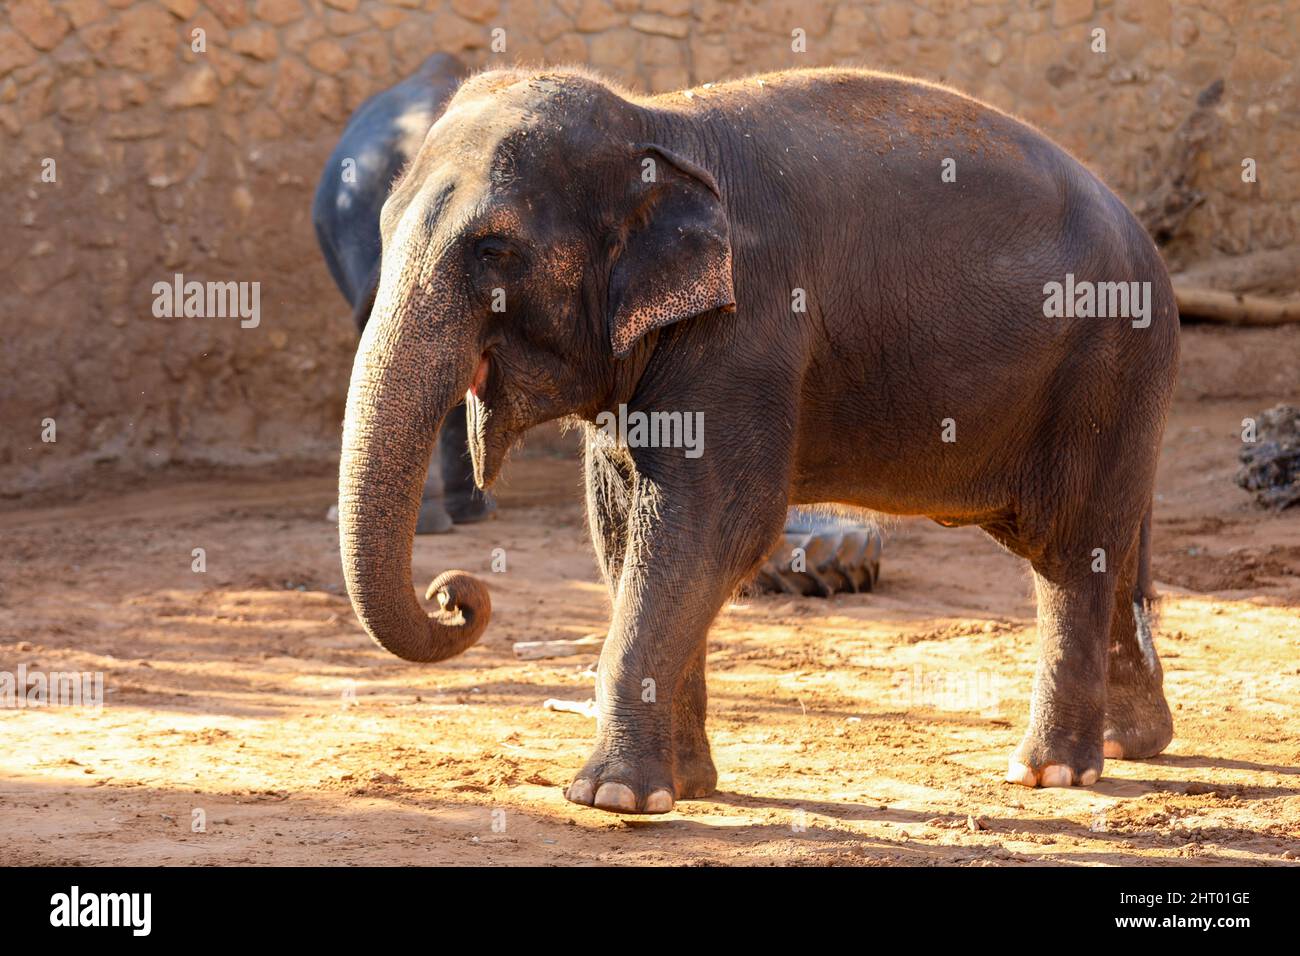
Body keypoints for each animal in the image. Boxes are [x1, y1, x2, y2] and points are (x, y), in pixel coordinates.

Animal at [338, 66, 1179, 815]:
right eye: (378, 226)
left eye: (494, 249)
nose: (455, 595)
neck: (655, 120)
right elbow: (622, 527)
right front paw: (686, 788)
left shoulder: (748, 333)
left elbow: (714, 524)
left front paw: (610, 797)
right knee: (1115, 542)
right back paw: (1132, 745)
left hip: (1105, 362)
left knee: (1070, 550)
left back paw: (1050, 773)